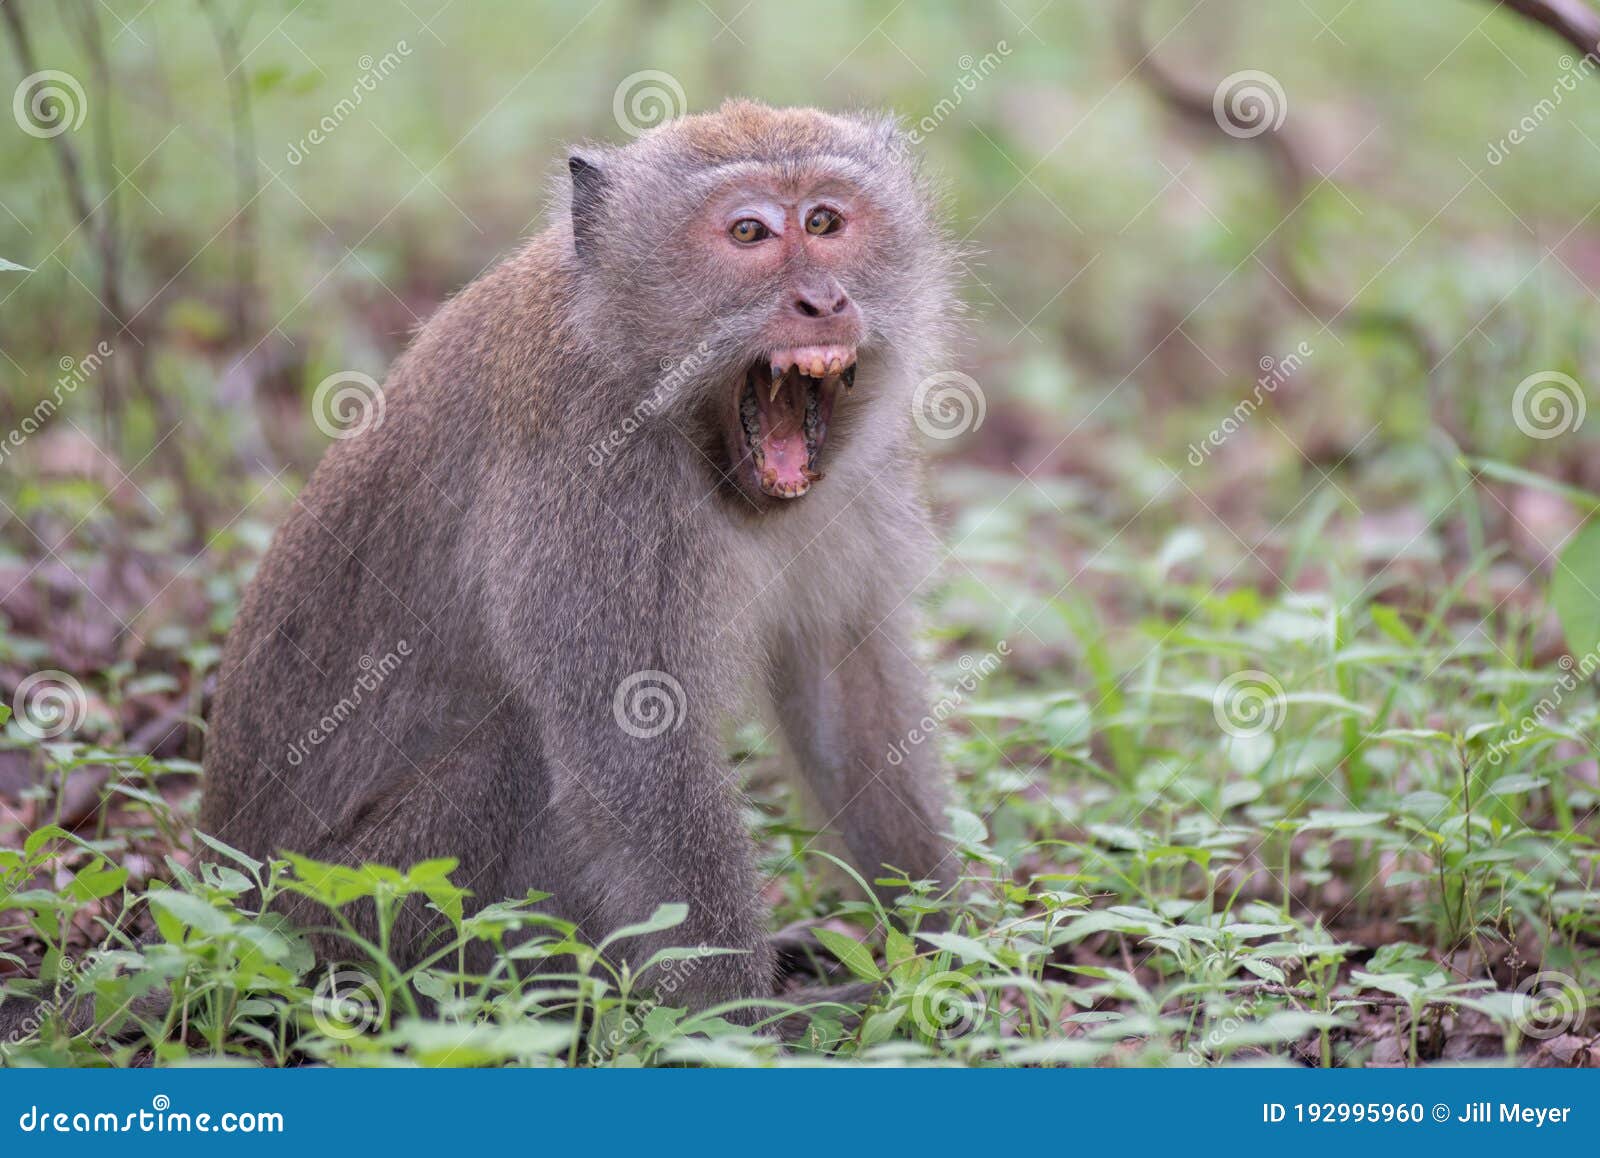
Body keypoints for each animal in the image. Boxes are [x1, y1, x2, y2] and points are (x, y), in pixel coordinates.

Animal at [194, 100, 962, 1021]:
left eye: (824, 223)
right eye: (749, 232)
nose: (824, 300)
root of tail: (237, 908)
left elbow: (847, 687)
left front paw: (949, 933)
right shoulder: (589, 481)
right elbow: (635, 747)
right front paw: (745, 1024)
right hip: (349, 906)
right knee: (519, 753)